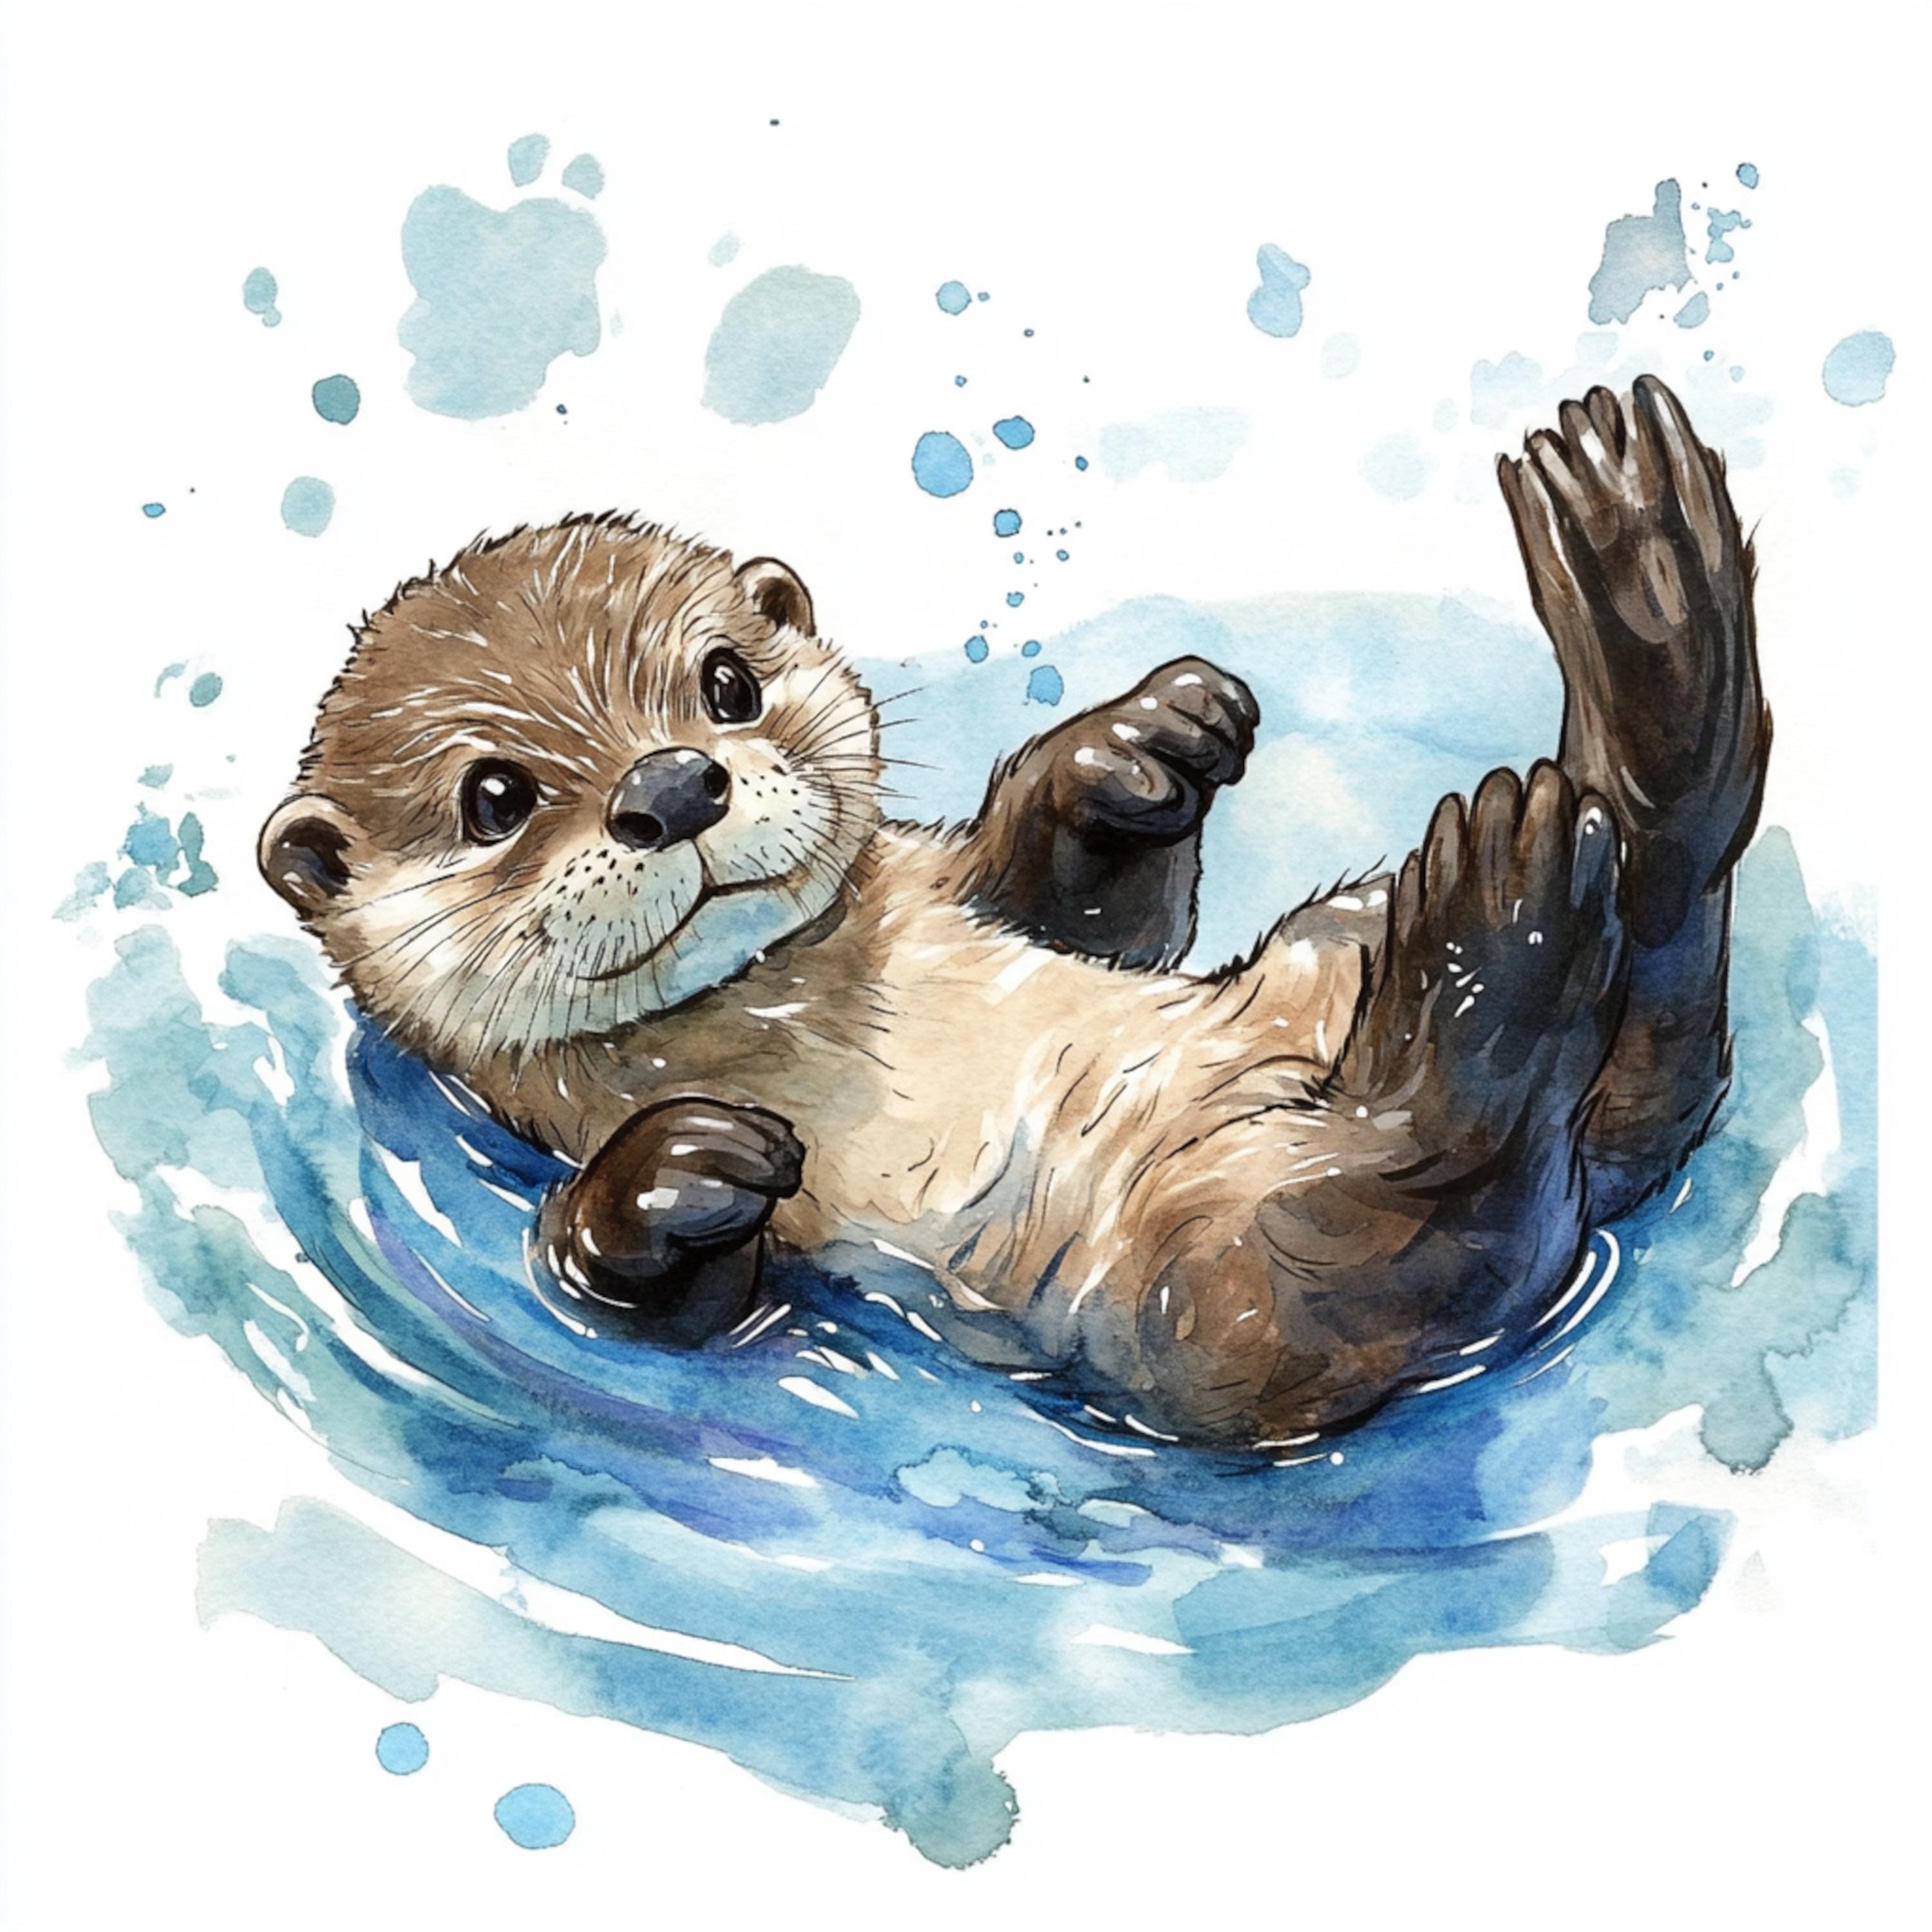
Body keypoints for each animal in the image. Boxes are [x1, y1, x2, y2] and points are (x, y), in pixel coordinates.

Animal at [260, 376, 1768, 1449]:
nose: (673, 784)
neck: (789, 992)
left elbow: (1089, 916)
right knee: (1431, 1215)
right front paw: (678, 1173)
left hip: (1344, 966)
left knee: (1661, 950)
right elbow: (666, 1309)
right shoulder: (547, 1127)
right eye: (495, 796)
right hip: (1201, 1290)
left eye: (728, 683)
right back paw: (1506, 924)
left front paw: (1137, 748)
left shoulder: (939, 891)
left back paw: (1643, 615)